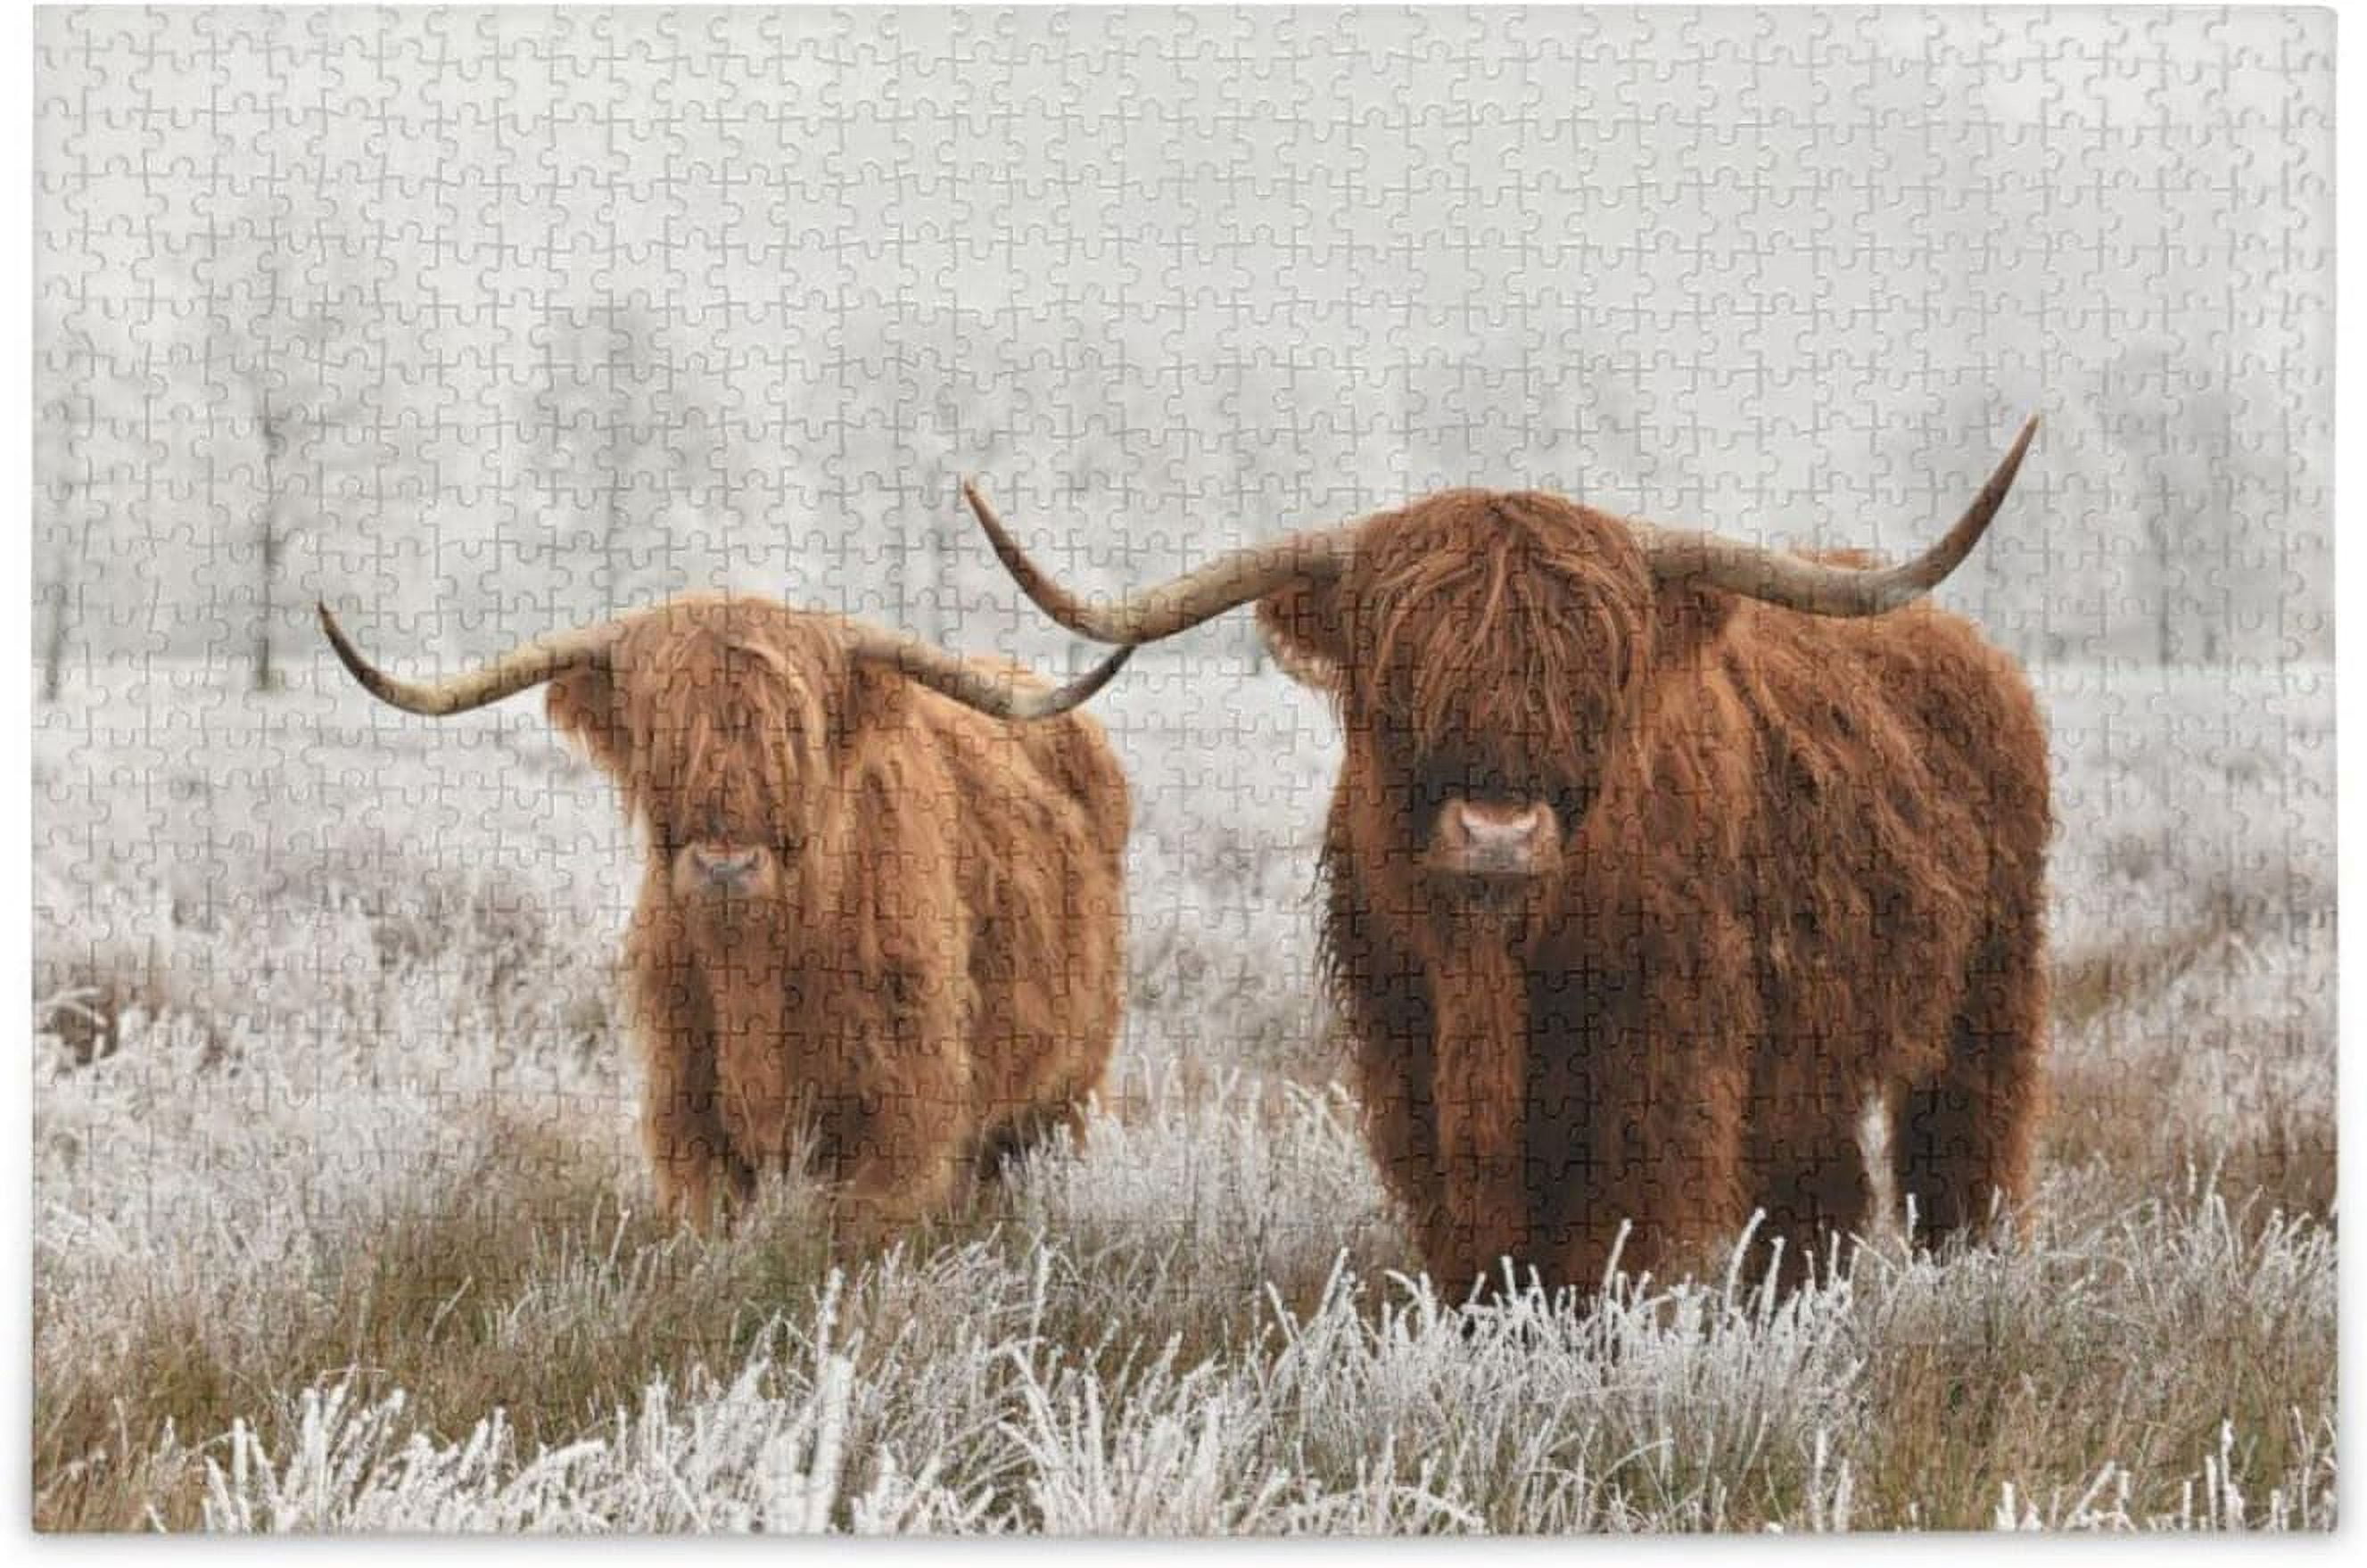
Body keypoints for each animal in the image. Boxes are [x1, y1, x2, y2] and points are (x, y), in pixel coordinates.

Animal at [319, 592, 1134, 1240]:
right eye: (660, 737)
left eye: (795, 737)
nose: (726, 866)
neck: (757, 970)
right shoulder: (689, 1115)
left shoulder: (897, 1127)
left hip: (1067, 1090)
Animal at [959, 418, 2047, 1298]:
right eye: (1400, 674)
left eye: (1596, 678)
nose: (1496, 834)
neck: (1498, 964)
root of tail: (1973, 652)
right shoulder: (1408, 1057)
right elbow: (1474, 1242)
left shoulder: (1658, 1068)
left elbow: (1610, 1245)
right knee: (1819, 1196)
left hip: (1987, 995)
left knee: (1960, 1160)